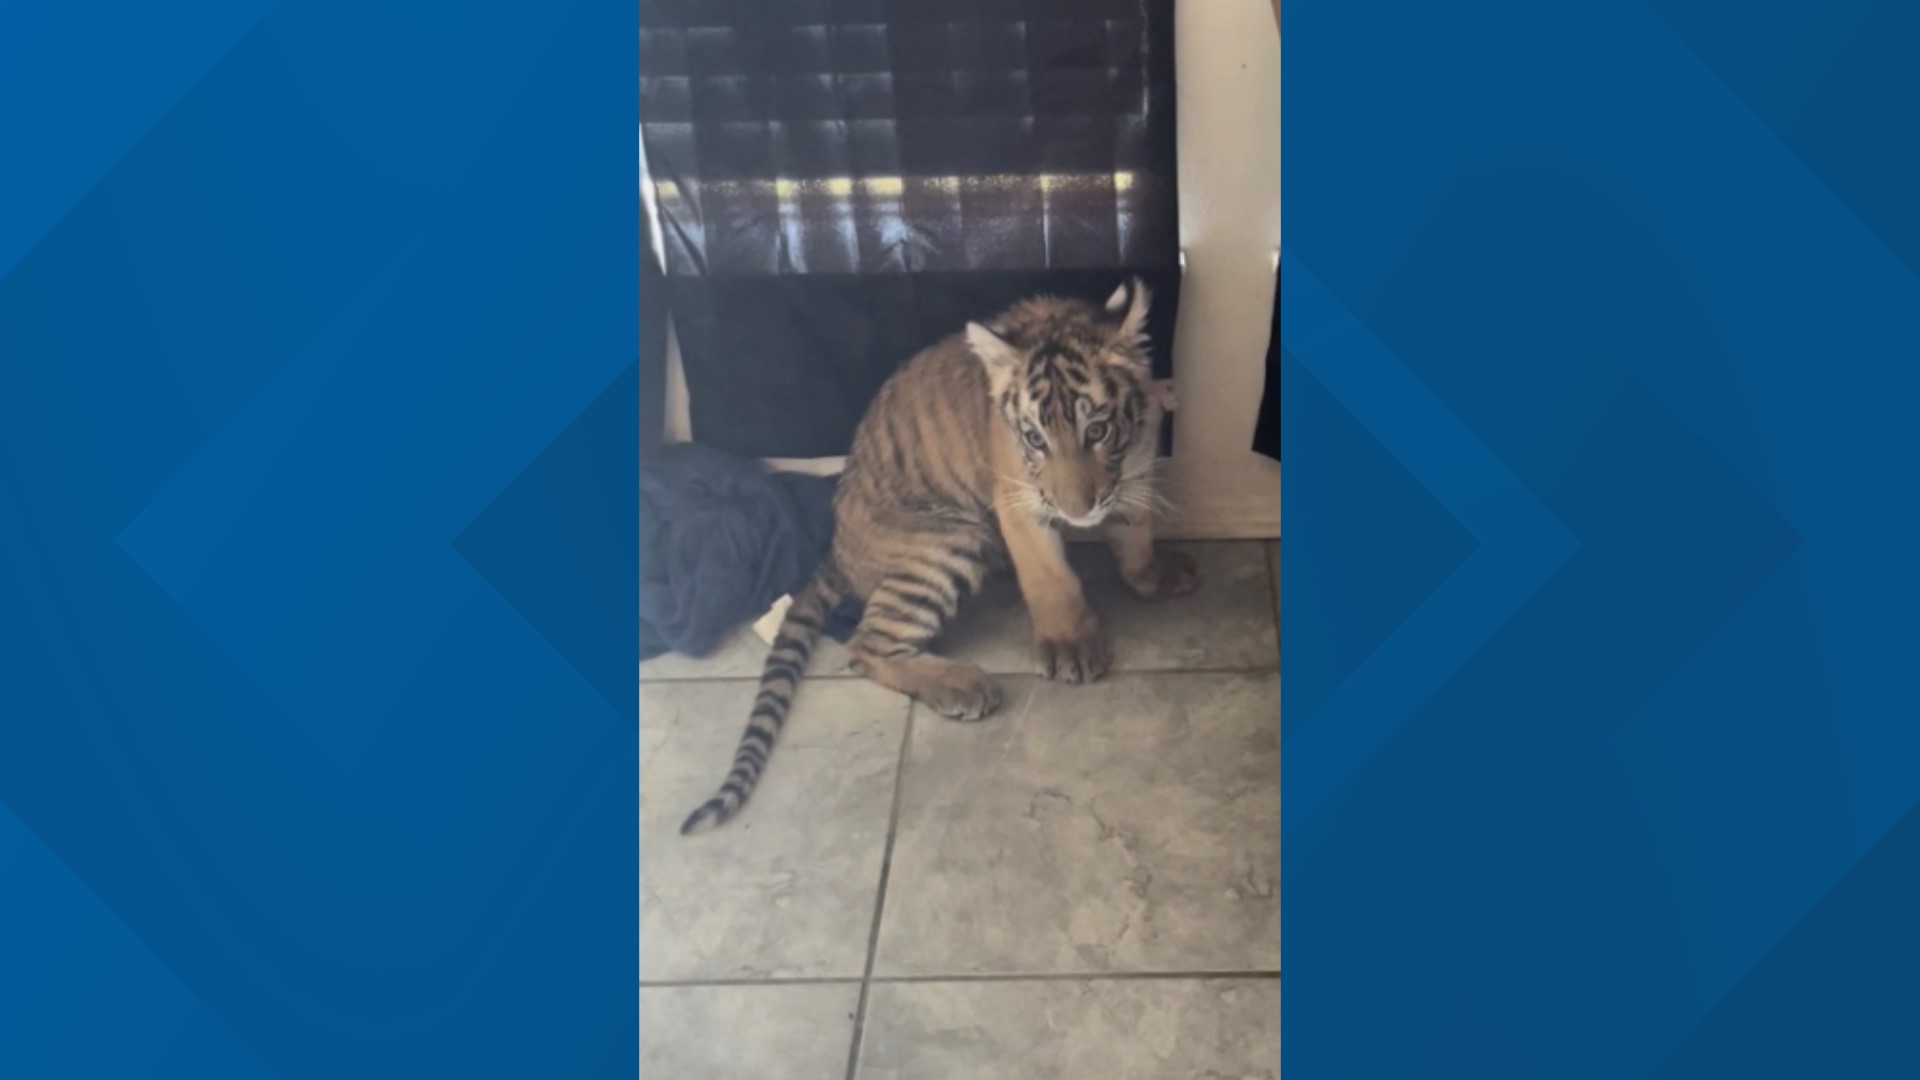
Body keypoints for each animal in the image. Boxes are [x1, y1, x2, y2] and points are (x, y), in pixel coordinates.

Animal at [680, 278, 1198, 834]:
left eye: (1097, 430)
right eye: (1034, 439)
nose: (1074, 511)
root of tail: (837, 549)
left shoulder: (1136, 473)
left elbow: (1136, 536)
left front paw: (1157, 576)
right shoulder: (1019, 503)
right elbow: (1051, 577)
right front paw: (1072, 647)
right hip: (947, 542)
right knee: (866, 646)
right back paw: (962, 685)